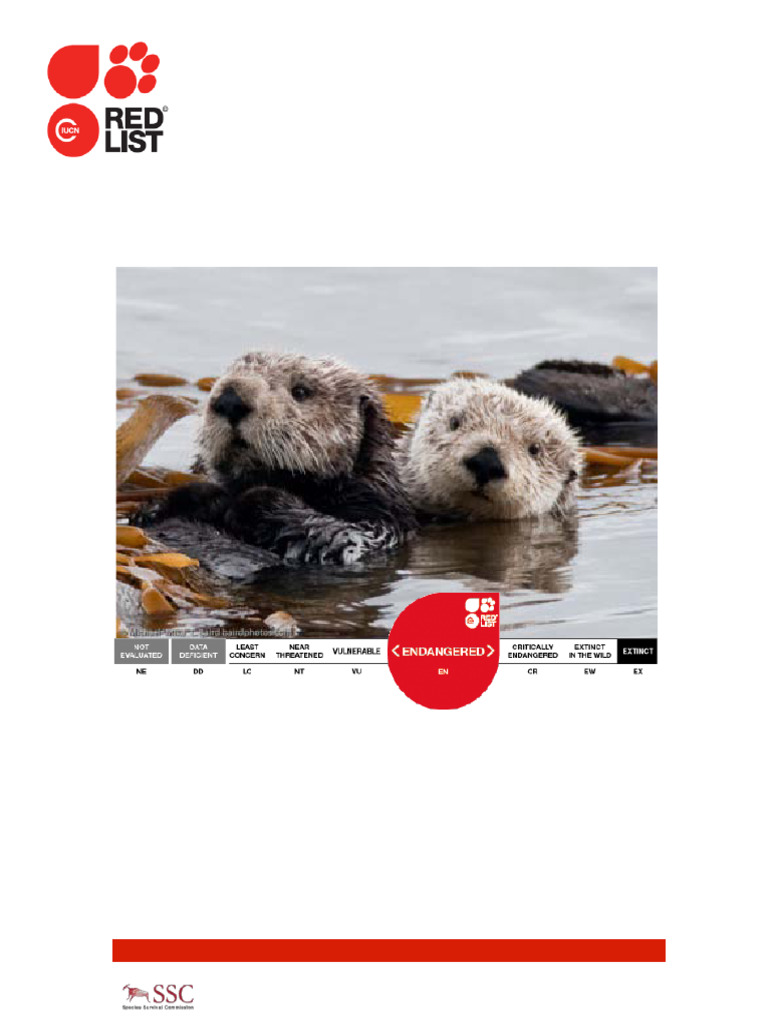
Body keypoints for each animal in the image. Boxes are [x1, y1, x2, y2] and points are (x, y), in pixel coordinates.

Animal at [133, 352, 417, 564]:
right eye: (219, 381)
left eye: (301, 391)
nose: (230, 399)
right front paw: (201, 496)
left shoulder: (378, 521)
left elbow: (341, 536)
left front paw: (249, 499)